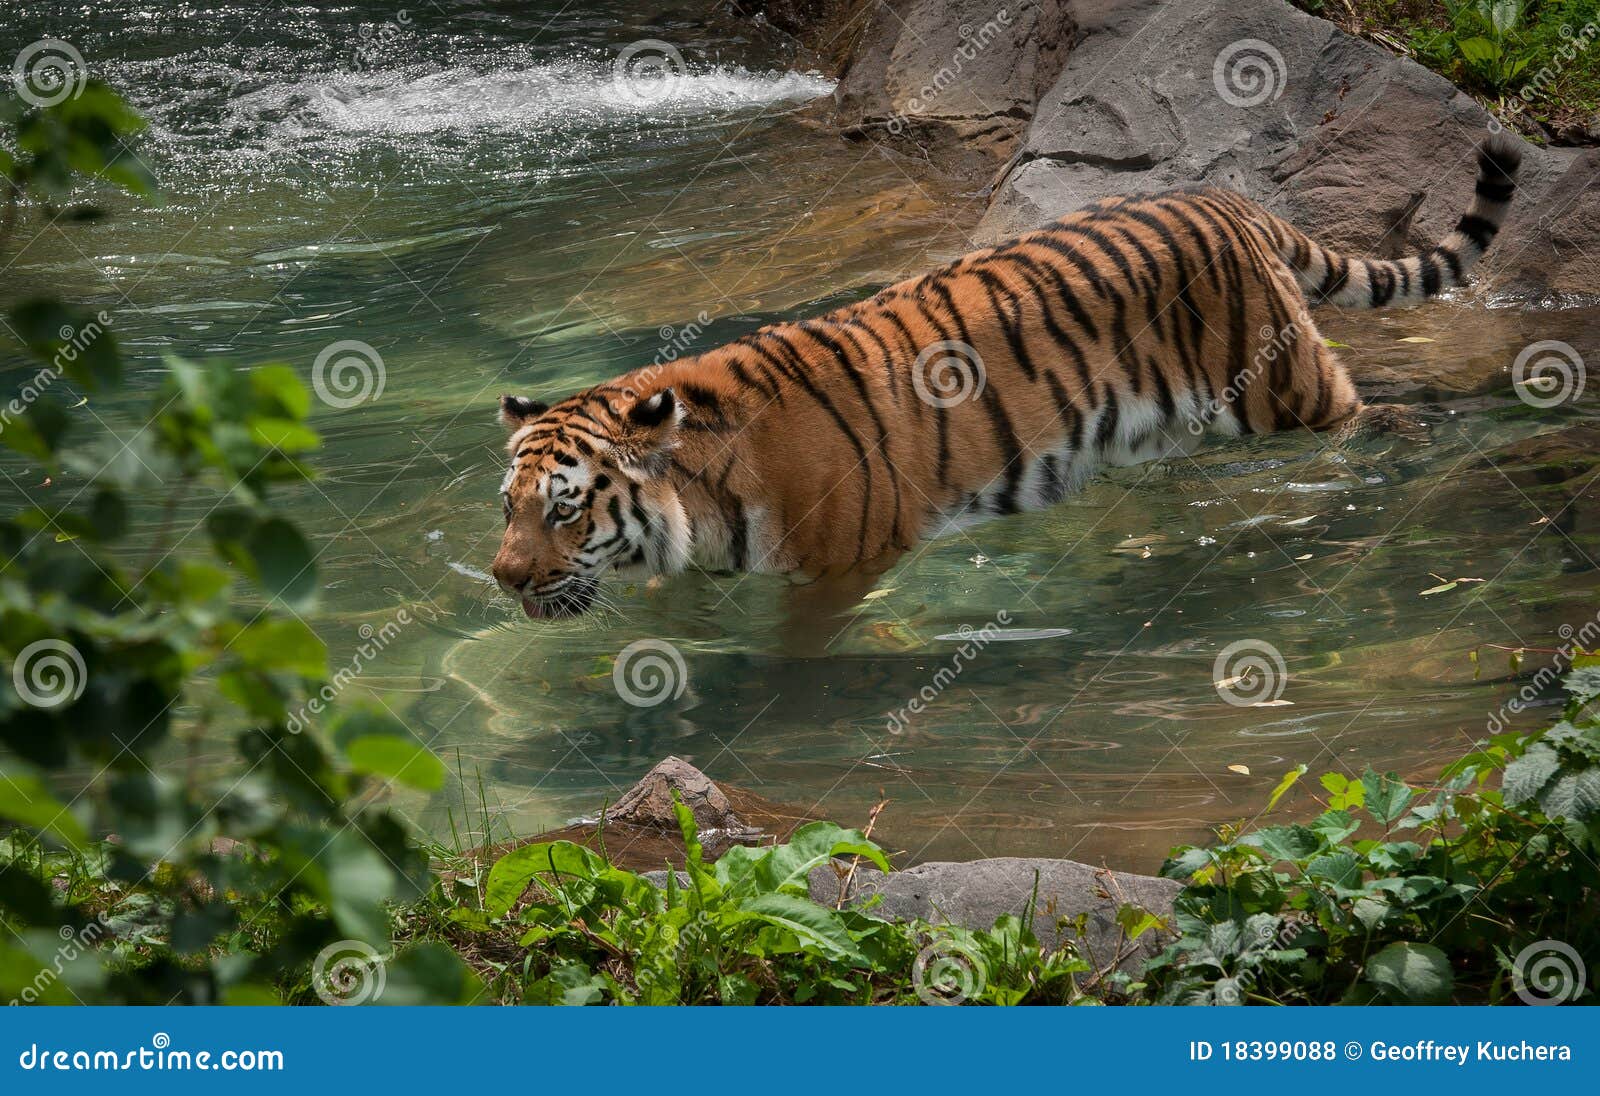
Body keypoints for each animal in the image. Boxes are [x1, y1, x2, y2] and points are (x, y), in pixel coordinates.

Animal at [493, 135, 1521, 619]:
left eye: (565, 510)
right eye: (507, 508)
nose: (501, 580)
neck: (701, 492)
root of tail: (1230, 198)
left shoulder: (850, 562)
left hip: (1286, 387)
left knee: (1361, 413)